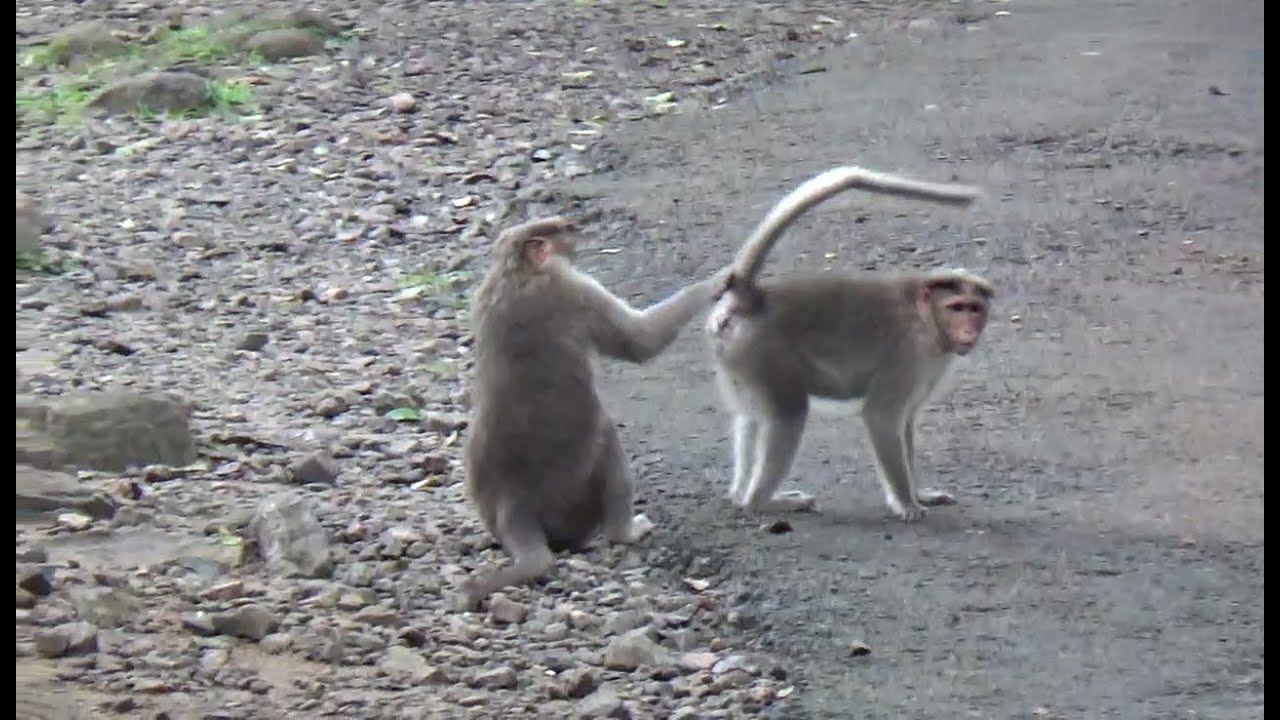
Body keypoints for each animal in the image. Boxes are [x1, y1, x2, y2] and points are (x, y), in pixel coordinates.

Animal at [459, 215, 729, 610]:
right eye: (565, 228)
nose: (576, 224)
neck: (515, 272)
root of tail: (514, 504)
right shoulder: (572, 288)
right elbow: (639, 340)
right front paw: (718, 281)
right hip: (576, 494)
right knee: (608, 441)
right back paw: (626, 531)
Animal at [705, 166, 993, 522]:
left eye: (974, 308)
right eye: (957, 307)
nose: (968, 332)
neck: (927, 318)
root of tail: (753, 299)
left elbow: (907, 421)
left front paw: (921, 493)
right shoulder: (909, 355)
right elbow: (882, 417)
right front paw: (908, 504)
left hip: (739, 361)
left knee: (750, 418)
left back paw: (740, 495)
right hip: (763, 354)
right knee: (790, 414)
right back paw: (761, 502)